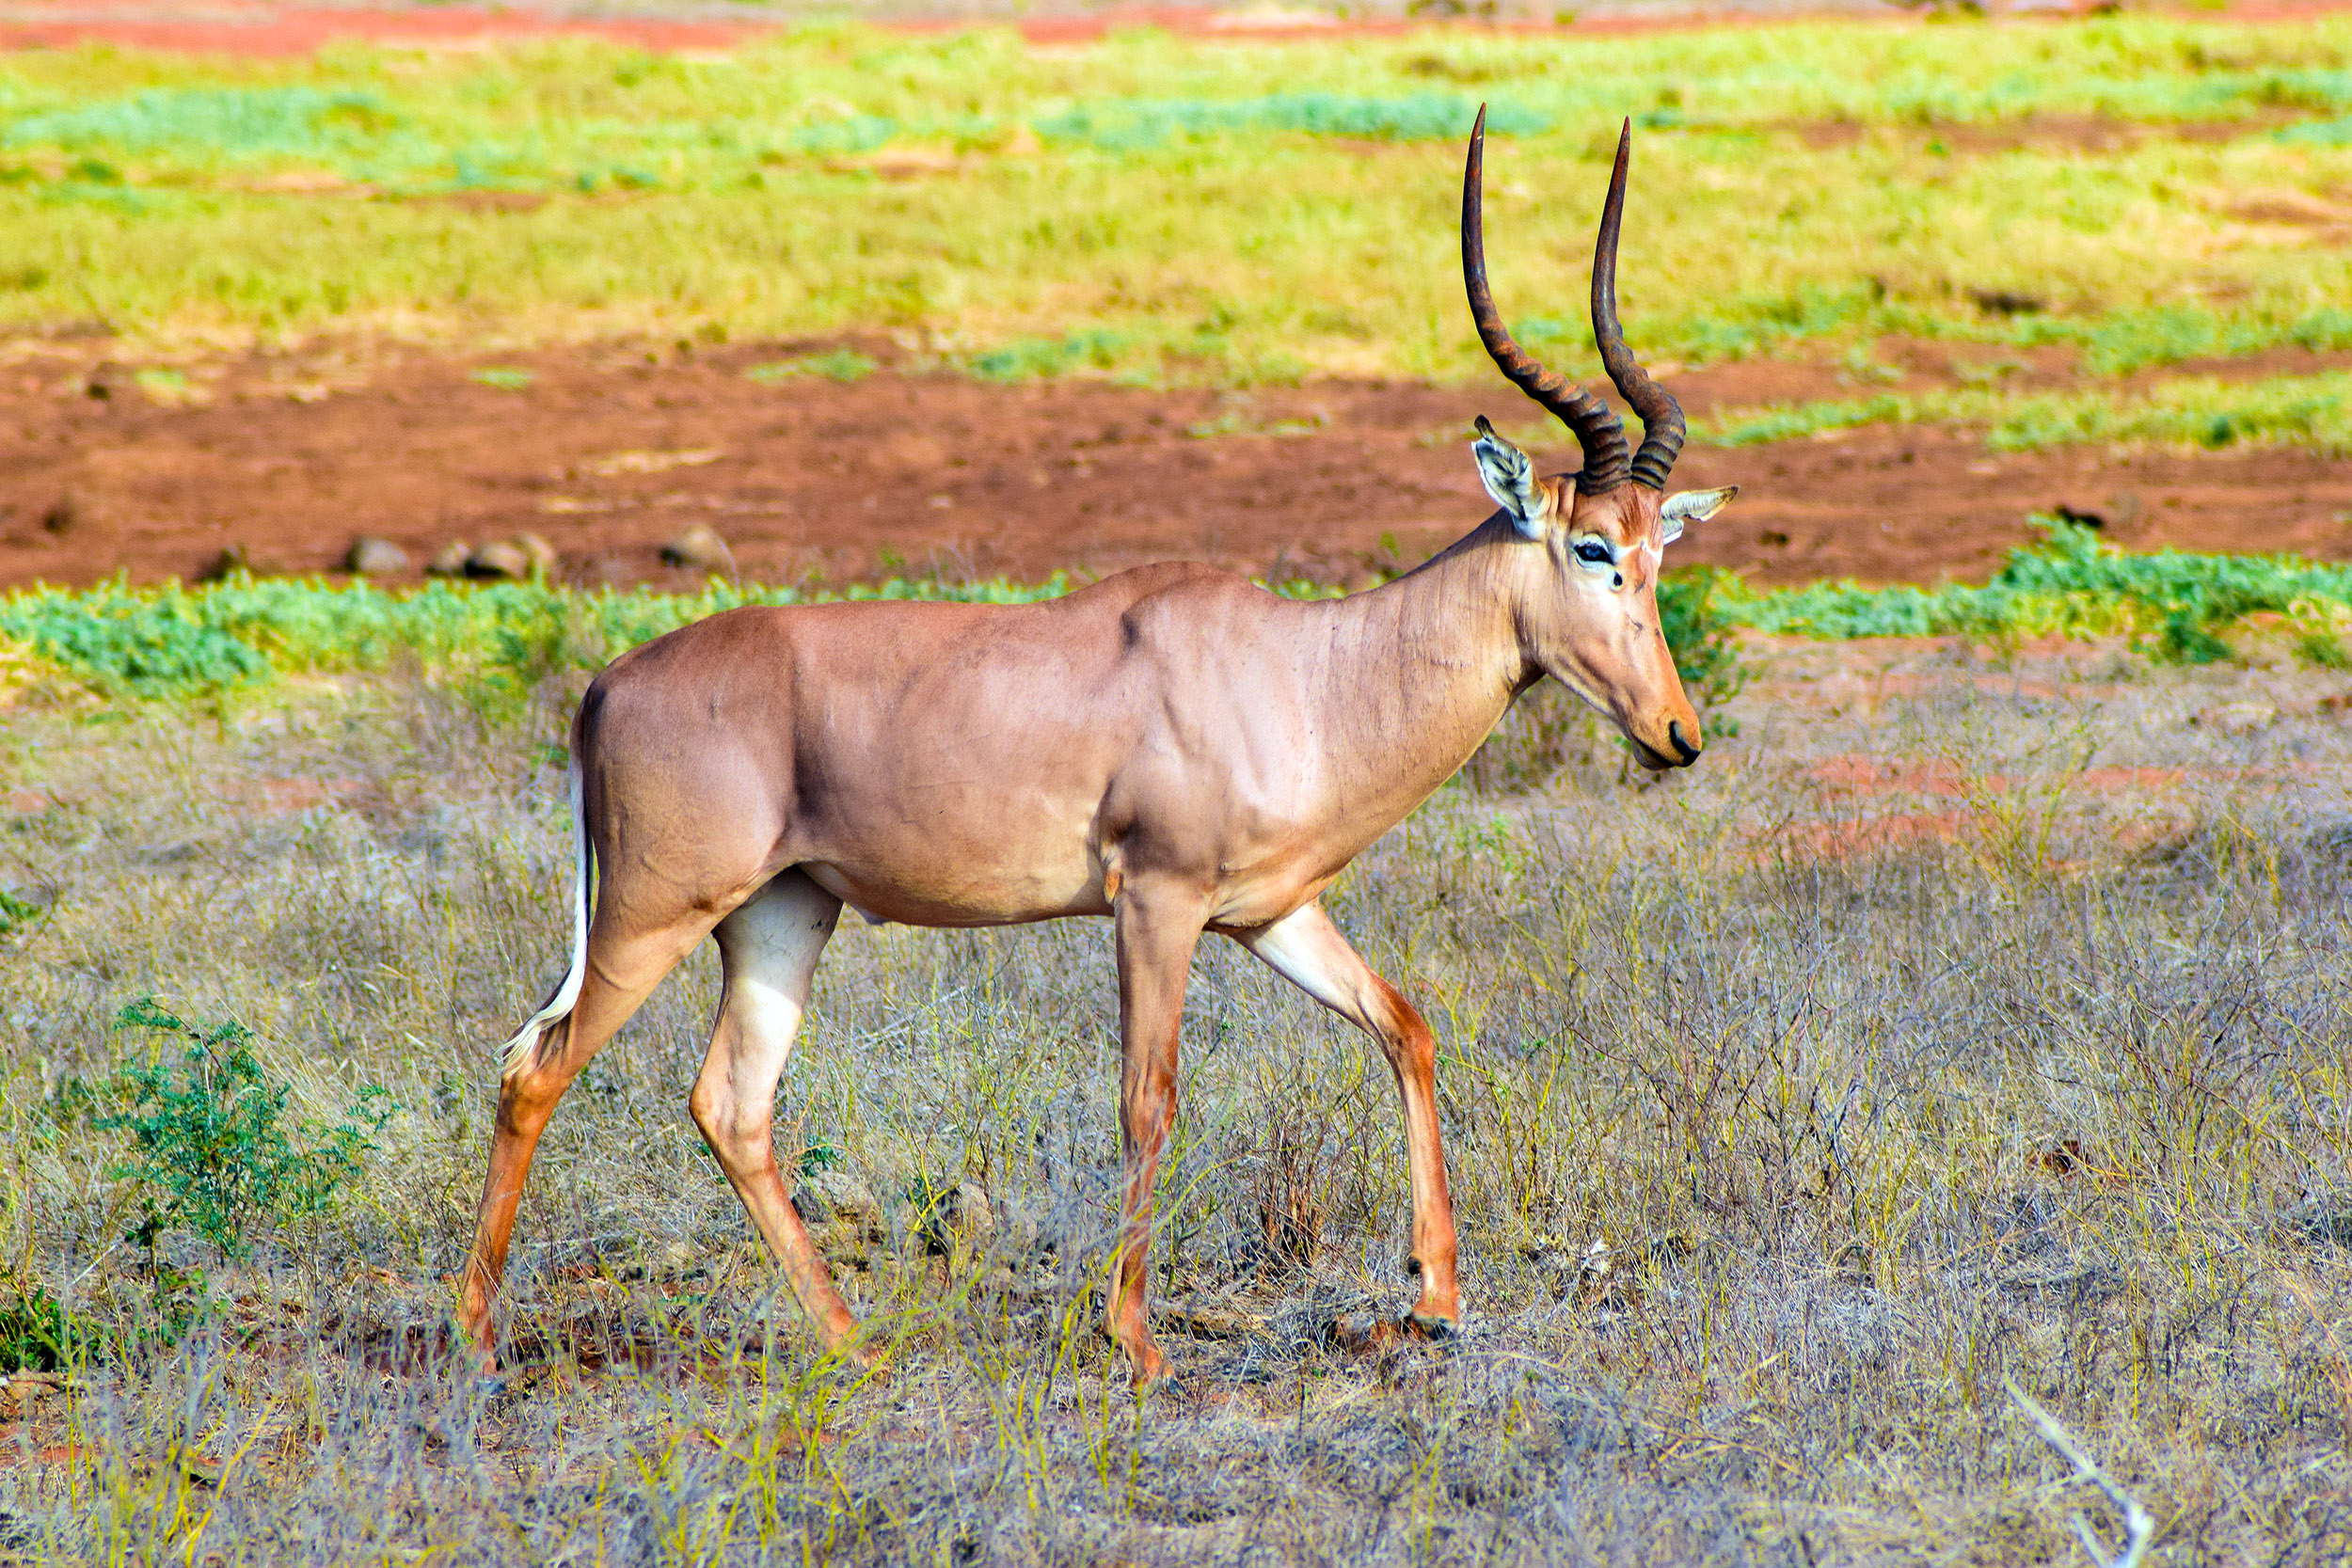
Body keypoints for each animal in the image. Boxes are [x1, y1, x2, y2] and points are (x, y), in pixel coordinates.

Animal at [459, 112, 1736, 1387]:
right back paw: (475, 1339)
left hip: (782, 914)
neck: (1299, 667)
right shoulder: (1154, 902)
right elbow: (1147, 1097)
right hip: (651, 916)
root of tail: (605, 686)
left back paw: (853, 1341)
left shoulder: (1269, 912)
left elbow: (1405, 1026)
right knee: (536, 1069)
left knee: (730, 1100)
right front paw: (1138, 1342)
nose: (1677, 735)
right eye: (1591, 547)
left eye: (1658, 549)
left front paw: (1434, 1299)